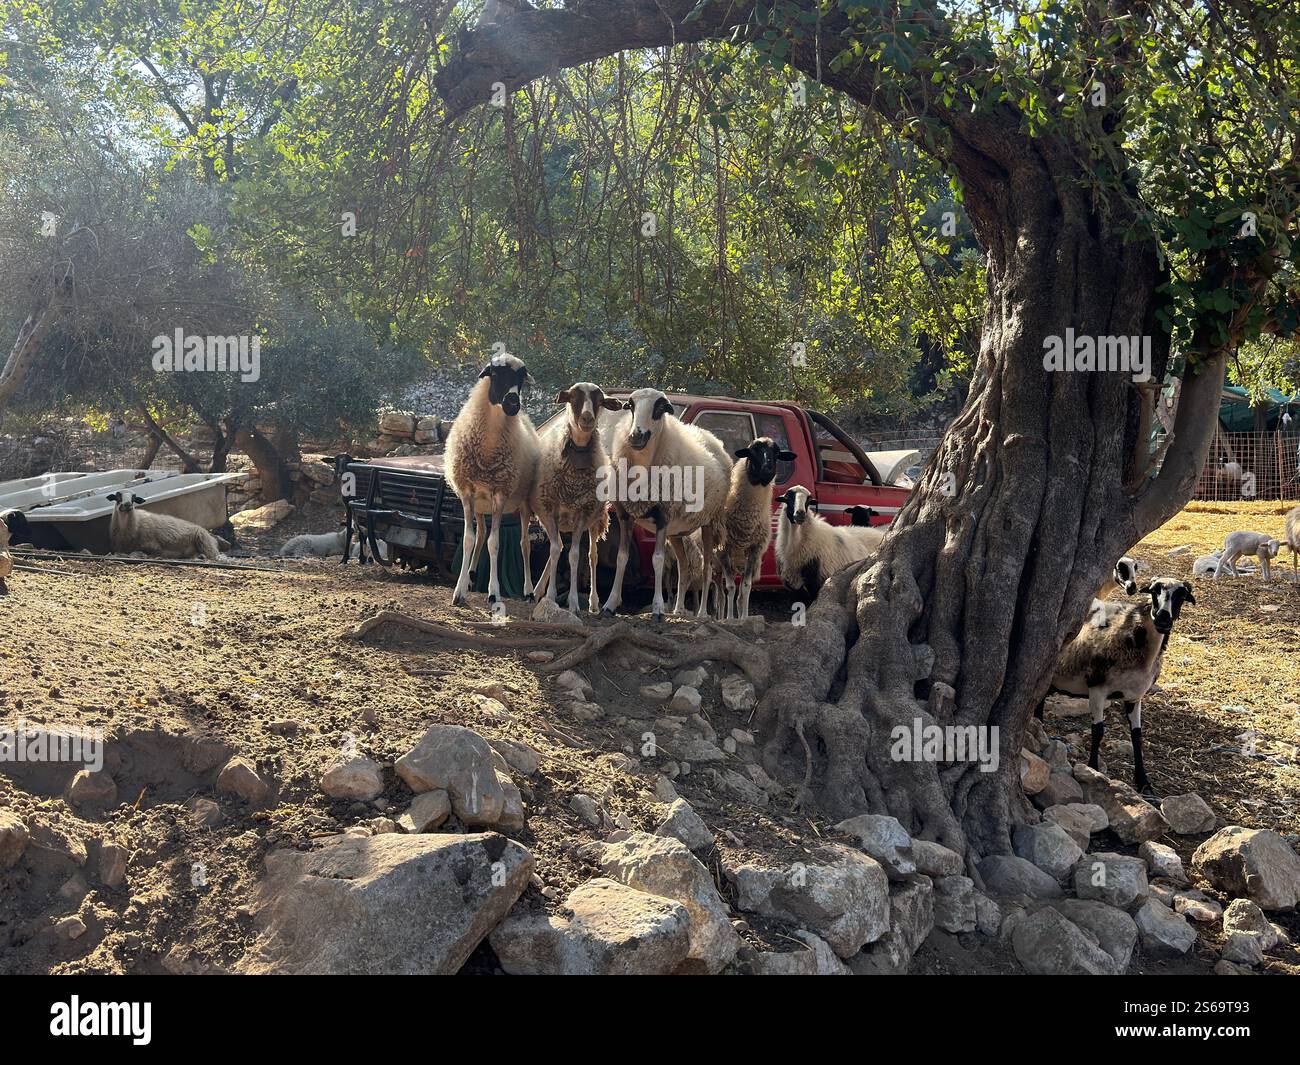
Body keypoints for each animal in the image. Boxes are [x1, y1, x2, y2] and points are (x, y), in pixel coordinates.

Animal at [443, 353, 542, 605]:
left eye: (522, 379)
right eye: (495, 374)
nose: (513, 404)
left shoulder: (500, 494)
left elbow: (495, 543)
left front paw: (494, 592)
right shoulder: (467, 493)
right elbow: (469, 540)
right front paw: (459, 591)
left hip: (524, 504)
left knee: (524, 544)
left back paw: (528, 590)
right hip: (480, 506)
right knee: (480, 535)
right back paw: (470, 577)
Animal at [529, 382, 622, 613]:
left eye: (600, 401)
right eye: (573, 398)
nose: (587, 418)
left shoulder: (582, 512)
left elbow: (575, 556)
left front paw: (572, 603)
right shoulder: (550, 508)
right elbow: (555, 551)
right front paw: (550, 596)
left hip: (596, 519)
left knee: (592, 556)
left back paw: (594, 603)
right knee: (559, 547)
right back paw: (537, 591)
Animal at [598, 387, 732, 620]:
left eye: (660, 408)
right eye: (630, 406)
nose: (636, 435)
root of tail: (711, 438)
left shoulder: (663, 515)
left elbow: (658, 560)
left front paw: (658, 608)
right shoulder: (626, 515)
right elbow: (622, 558)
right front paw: (610, 604)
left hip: (709, 521)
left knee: (706, 570)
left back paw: (702, 613)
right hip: (676, 532)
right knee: (685, 567)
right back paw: (678, 610)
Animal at [712, 437, 796, 620]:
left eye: (777, 453)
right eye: (752, 451)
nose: (768, 468)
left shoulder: (754, 551)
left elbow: (746, 587)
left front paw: (743, 618)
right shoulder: (724, 550)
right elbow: (730, 588)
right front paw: (730, 619)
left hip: (740, 563)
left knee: (732, 595)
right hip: (714, 562)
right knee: (717, 592)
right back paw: (715, 616)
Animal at [1034, 577, 1196, 796]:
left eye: (1182, 596)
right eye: (1154, 591)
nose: (1163, 619)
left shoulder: (1134, 697)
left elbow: (1137, 736)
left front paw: (1144, 783)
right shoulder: (1097, 690)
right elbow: (1098, 731)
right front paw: (1093, 769)